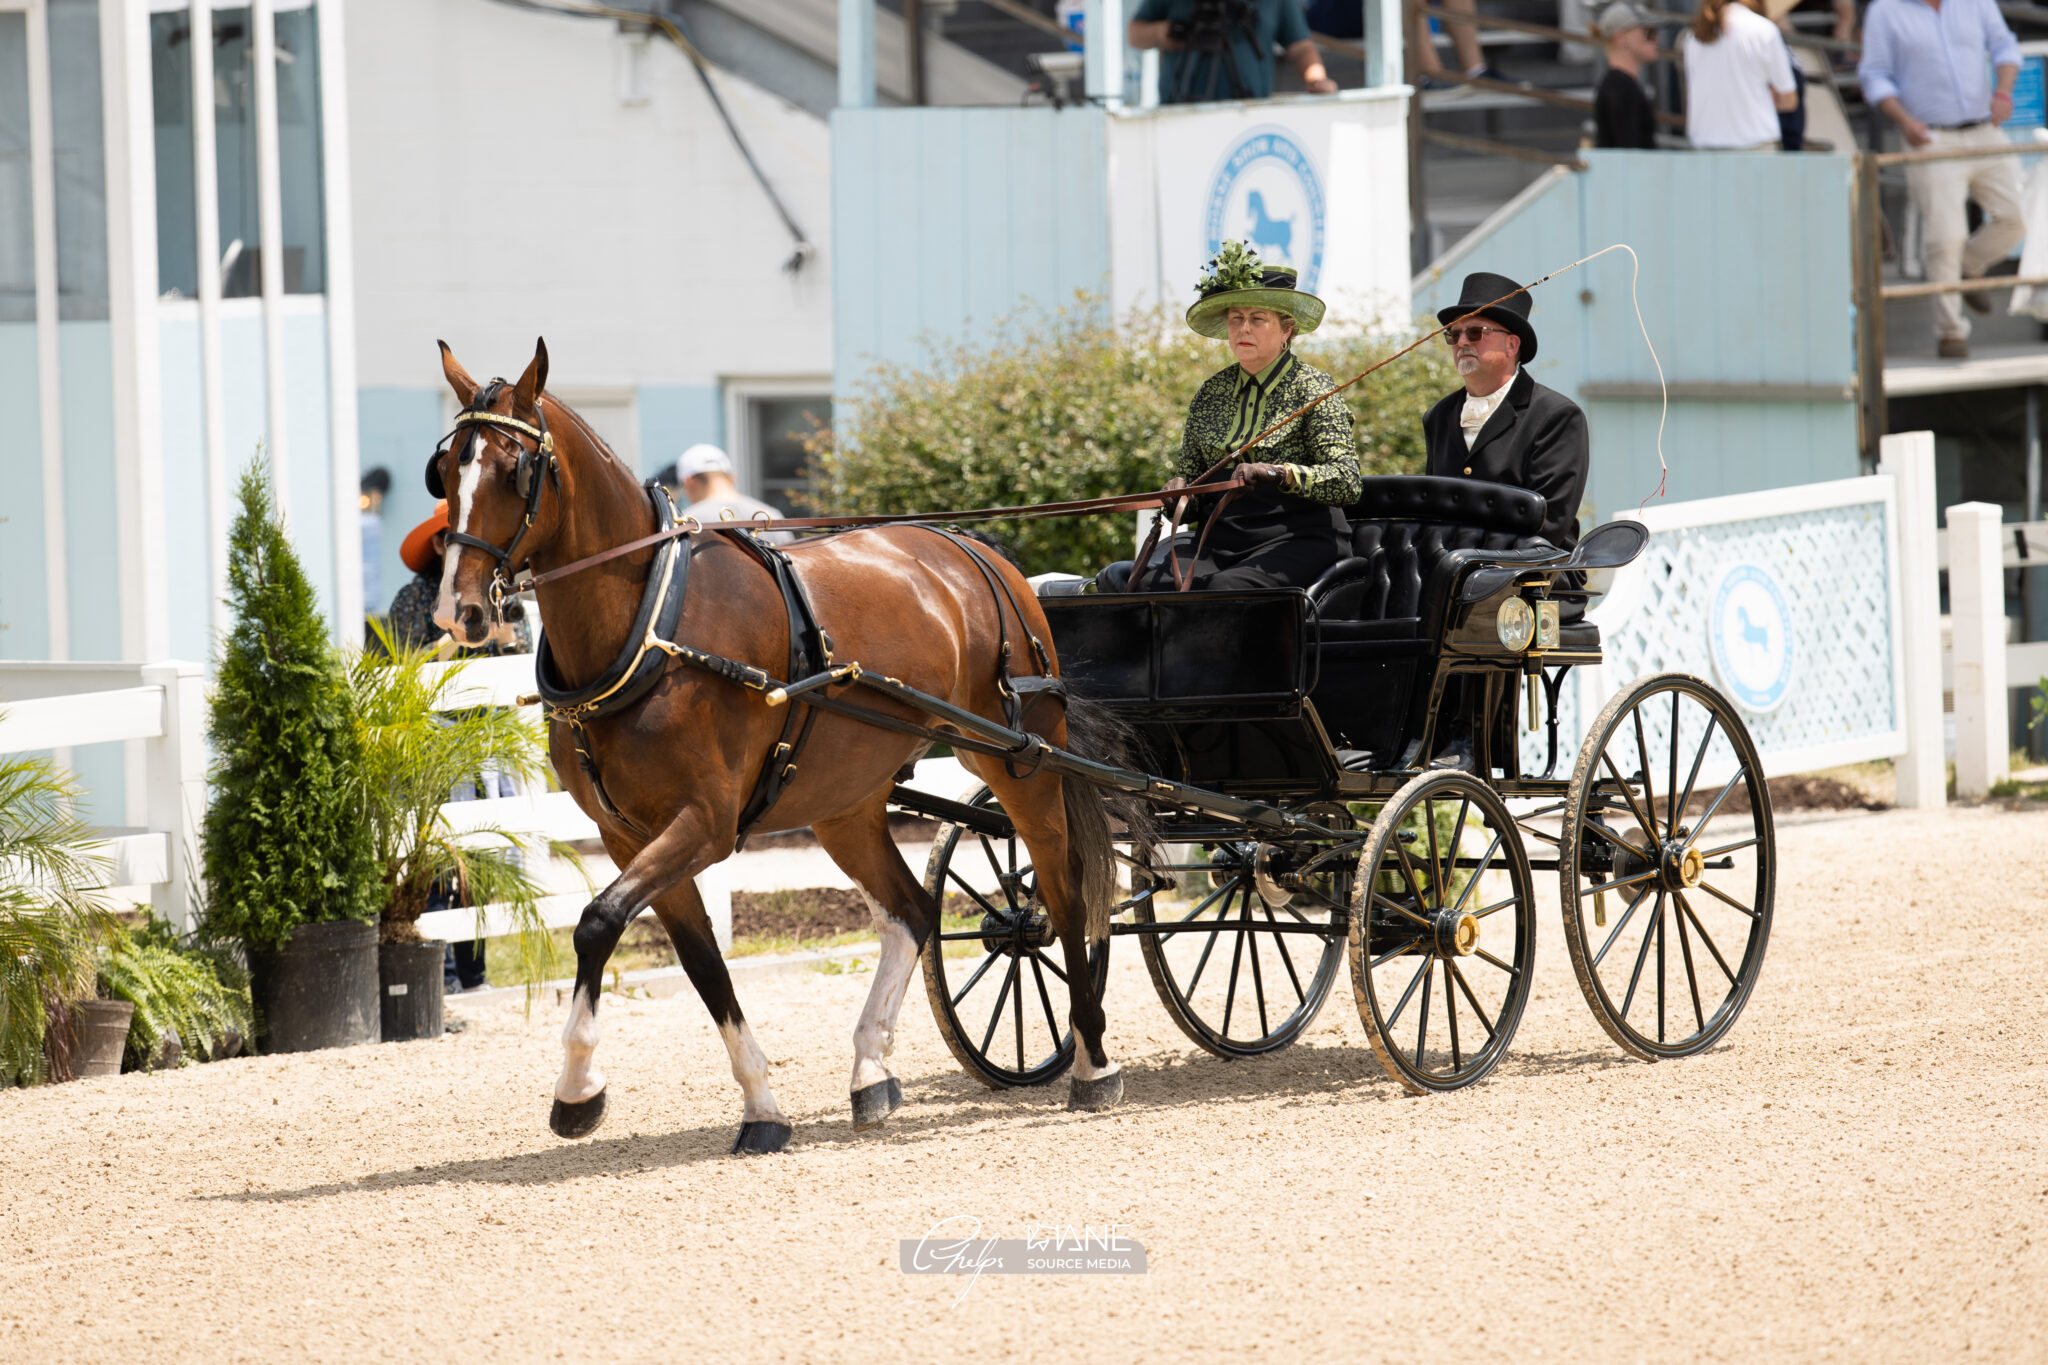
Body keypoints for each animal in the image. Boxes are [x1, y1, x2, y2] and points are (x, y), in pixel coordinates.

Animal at [427, 338, 1129, 1154]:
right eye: (445, 471)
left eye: (515, 469)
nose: (458, 610)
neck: (653, 623)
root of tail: (975, 551)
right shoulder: (628, 832)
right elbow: (704, 966)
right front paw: (761, 1104)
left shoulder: (704, 822)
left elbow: (598, 921)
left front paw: (578, 1089)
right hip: (845, 802)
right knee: (912, 910)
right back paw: (870, 1069)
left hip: (1019, 762)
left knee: (1061, 890)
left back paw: (1092, 1060)